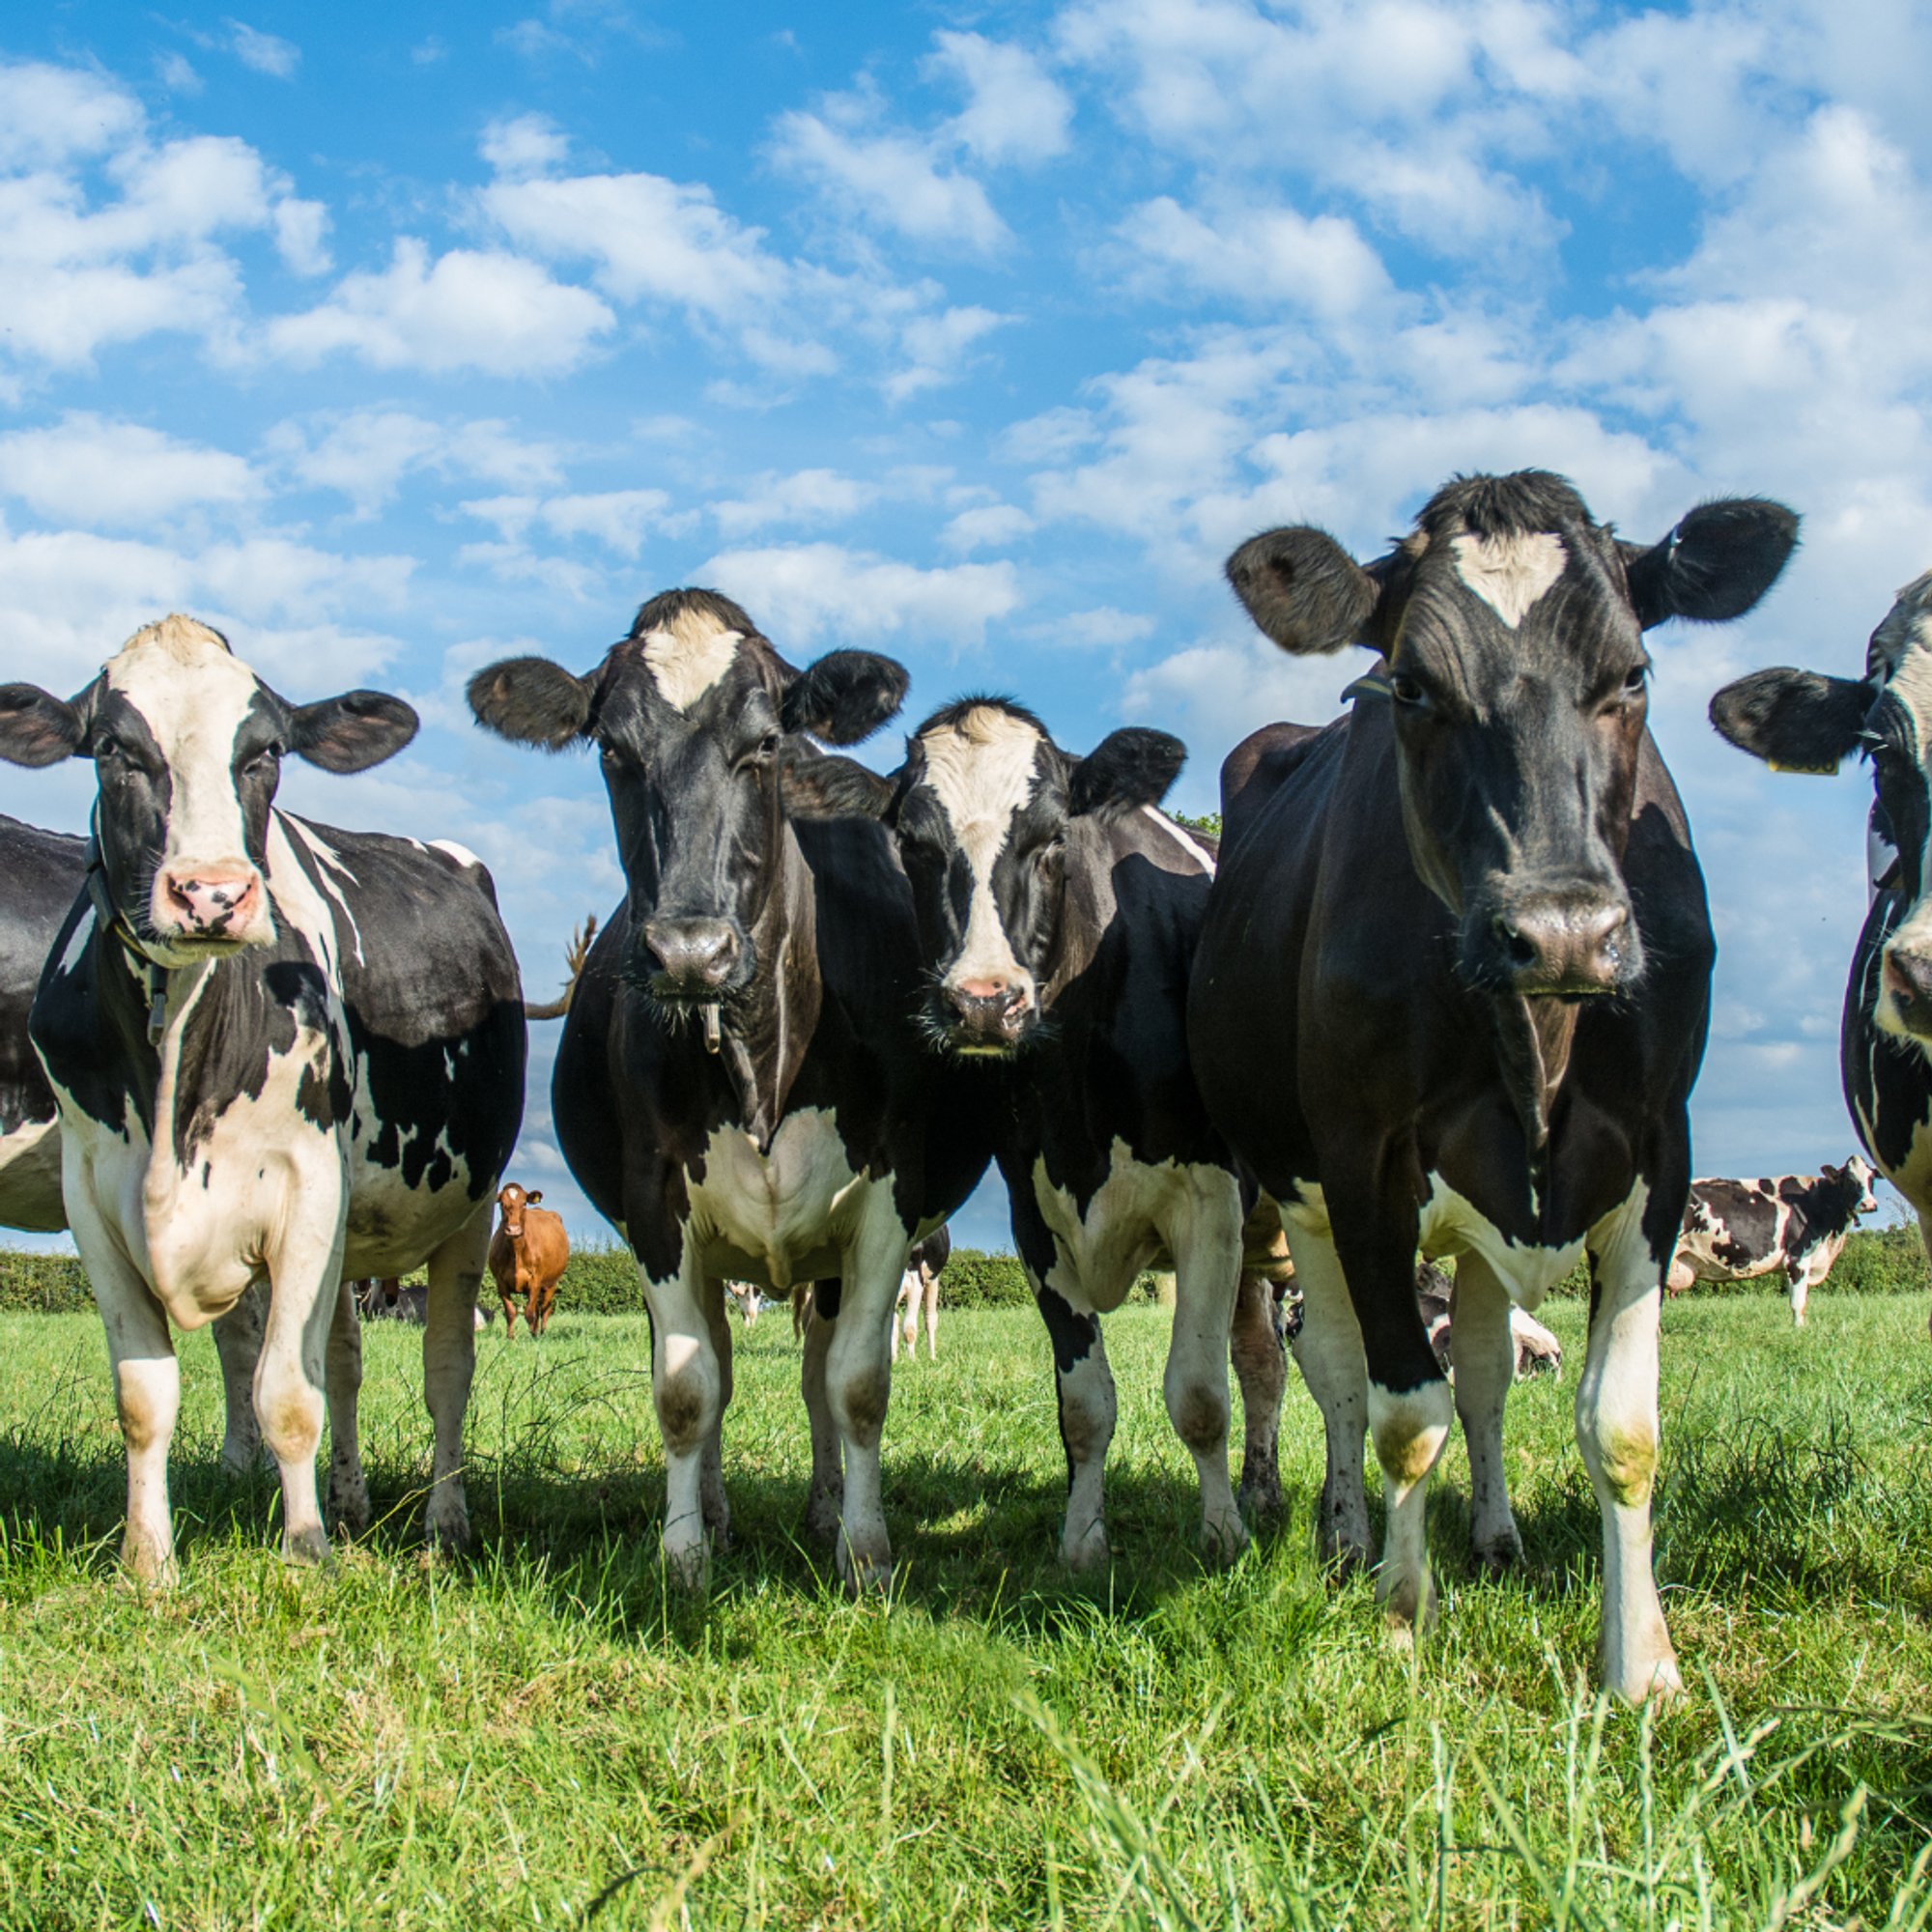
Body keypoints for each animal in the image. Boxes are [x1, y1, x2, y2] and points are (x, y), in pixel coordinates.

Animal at [0, 614, 525, 1581]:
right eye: (113, 749)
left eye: (266, 750)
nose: (211, 893)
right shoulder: (91, 1197)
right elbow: (145, 1395)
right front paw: (149, 1562)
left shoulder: (308, 1188)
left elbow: (286, 1392)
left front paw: (306, 1551)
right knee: (346, 1362)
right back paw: (353, 1503)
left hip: (465, 1212)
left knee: (444, 1369)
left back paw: (443, 1523)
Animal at [488, 1181, 570, 1337]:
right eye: (502, 1204)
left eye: (524, 1204)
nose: (513, 1229)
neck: (516, 1252)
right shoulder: (500, 1282)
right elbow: (511, 1312)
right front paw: (510, 1337)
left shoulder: (535, 1280)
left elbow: (530, 1313)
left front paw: (533, 1337)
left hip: (551, 1283)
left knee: (545, 1309)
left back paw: (542, 1333)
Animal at [781, 696, 1291, 1567]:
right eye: (913, 844)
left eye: (1054, 838)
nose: (985, 1002)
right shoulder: (1036, 1215)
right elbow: (1085, 1403)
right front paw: (1083, 1543)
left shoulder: (1213, 1204)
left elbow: (1198, 1394)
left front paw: (1220, 1539)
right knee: (1260, 1352)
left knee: (1272, 1361)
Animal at [1187, 471, 1797, 1701]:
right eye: (1412, 684)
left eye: (1631, 674)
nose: (1560, 930)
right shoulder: (1363, 1164)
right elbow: (1398, 1413)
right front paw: (1400, 1619)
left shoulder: (1657, 1155)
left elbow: (1615, 1424)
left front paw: (1640, 1664)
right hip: (1294, 1195)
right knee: (1331, 1372)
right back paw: (1346, 1538)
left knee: (1480, 1373)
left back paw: (1495, 1533)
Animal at [1667, 1159, 1878, 1323]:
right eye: (1849, 1179)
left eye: (1871, 1179)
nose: (1869, 1204)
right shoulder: (1799, 1259)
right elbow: (1798, 1303)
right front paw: (1799, 1332)